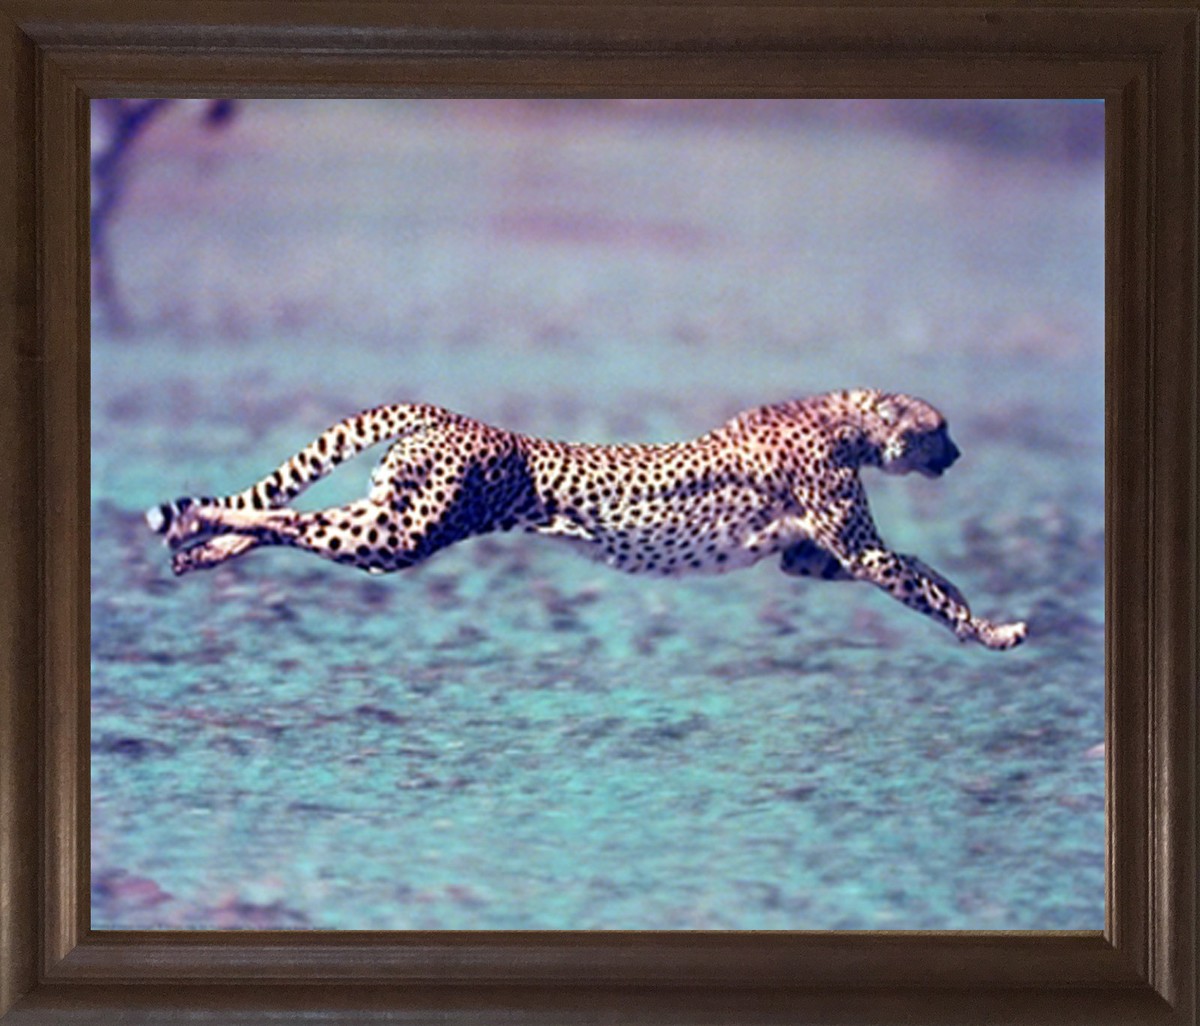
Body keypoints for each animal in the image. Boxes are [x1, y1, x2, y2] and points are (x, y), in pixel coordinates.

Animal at [146, 389, 1028, 650]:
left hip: (389, 515)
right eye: (941, 427)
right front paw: (992, 632)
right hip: (403, 534)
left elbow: (923, 572)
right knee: (292, 521)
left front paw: (989, 622)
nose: (956, 454)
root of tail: (445, 414)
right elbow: (927, 584)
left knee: (286, 517)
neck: (847, 420)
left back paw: (198, 547)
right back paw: (192, 524)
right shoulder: (858, 552)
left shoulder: (810, 558)